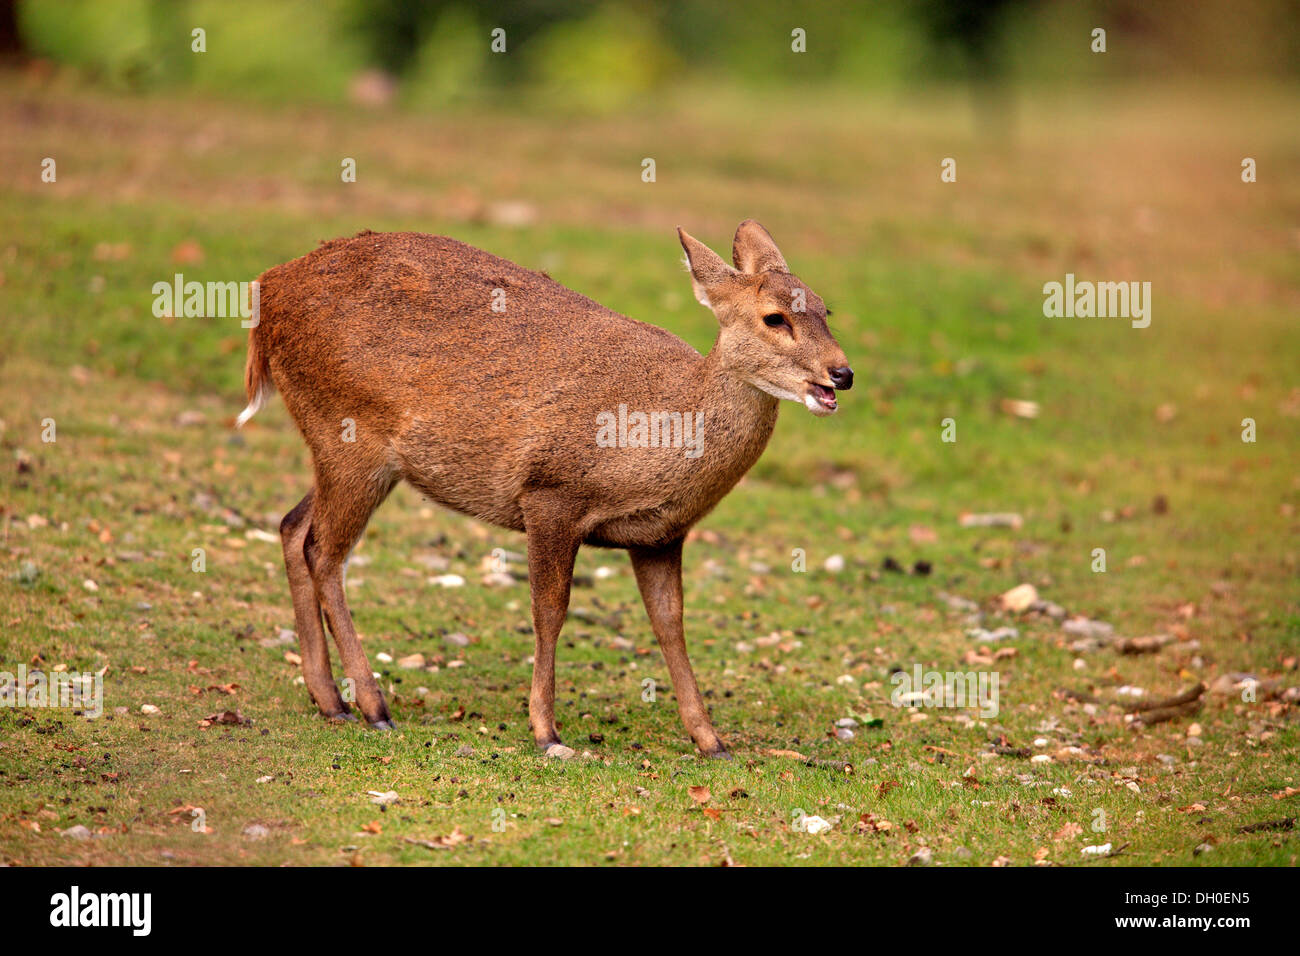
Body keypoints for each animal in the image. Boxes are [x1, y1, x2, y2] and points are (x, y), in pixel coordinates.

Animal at [236, 220, 851, 759]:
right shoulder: (550, 493)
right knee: (325, 553)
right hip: (349, 436)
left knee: (293, 527)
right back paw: (372, 705)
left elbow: (671, 624)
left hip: (349, 452)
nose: (841, 374)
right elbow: (550, 610)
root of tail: (269, 289)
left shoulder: (661, 535)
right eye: (775, 318)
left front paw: (711, 740)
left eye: (826, 310)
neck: (661, 428)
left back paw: (329, 700)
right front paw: (546, 731)